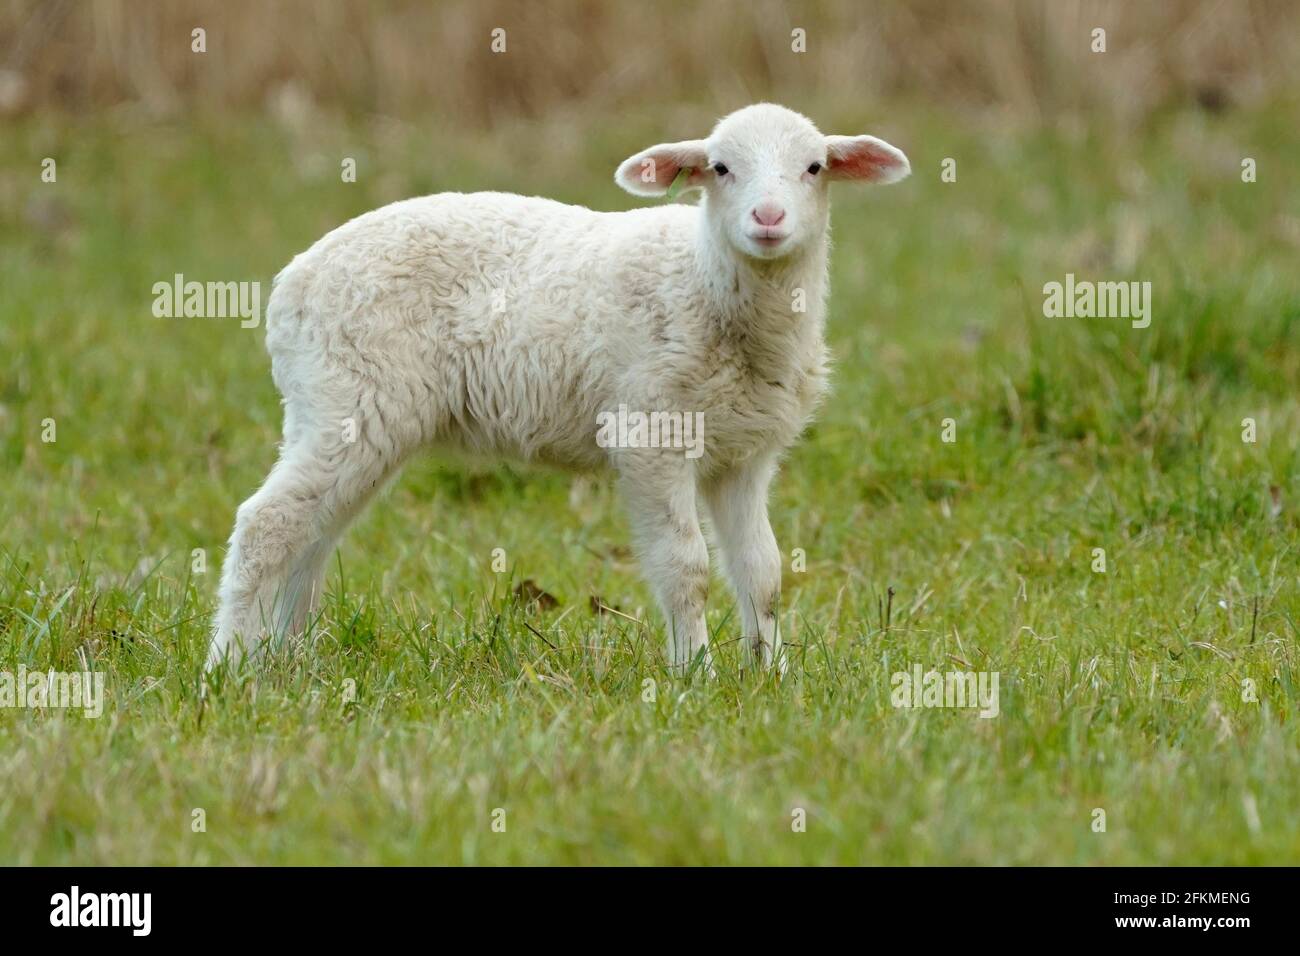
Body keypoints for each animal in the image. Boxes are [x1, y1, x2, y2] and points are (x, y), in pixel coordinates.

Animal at [207, 102, 910, 676]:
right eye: (719, 168)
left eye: (814, 167)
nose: (769, 218)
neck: (702, 281)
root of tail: (290, 286)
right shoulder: (650, 434)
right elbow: (686, 569)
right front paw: (696, 678)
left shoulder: (744, 455)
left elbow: (762, 572)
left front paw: (771, 678)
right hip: (351, 396)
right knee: (268, 524)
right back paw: (229, 668)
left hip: (340, 413)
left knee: (311, 539)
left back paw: (285, 660)